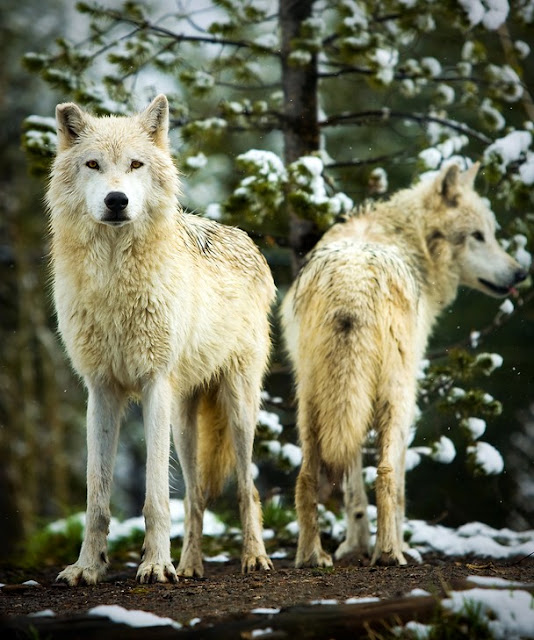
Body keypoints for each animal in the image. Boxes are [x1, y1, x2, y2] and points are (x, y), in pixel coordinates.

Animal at [47, 94, 276, 585]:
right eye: (93, 164)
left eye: (136, 164)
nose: (117, 200)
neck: (114, 279)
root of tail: (244, 237)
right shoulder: (101, 390)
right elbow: (96, 498)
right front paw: (87, 567)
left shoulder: (154, 384)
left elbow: (154, 496)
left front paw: (154, 565)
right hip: (184, 423)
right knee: (194, 494)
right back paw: (189, 566)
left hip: (238, 407)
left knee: (247, 488)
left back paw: (254, 557)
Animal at [281, 163, 527, 568]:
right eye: (479, 236)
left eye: (490, 233)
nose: (520, 273)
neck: (413, 242)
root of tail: (351, 283)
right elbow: (397, 487)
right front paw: (394, 545)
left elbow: (353, 489)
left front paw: (353, 547)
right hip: (395, 396)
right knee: (386, 471)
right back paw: (390, 553)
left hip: (313, 398)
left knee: (305, 477)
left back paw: (312, 556)